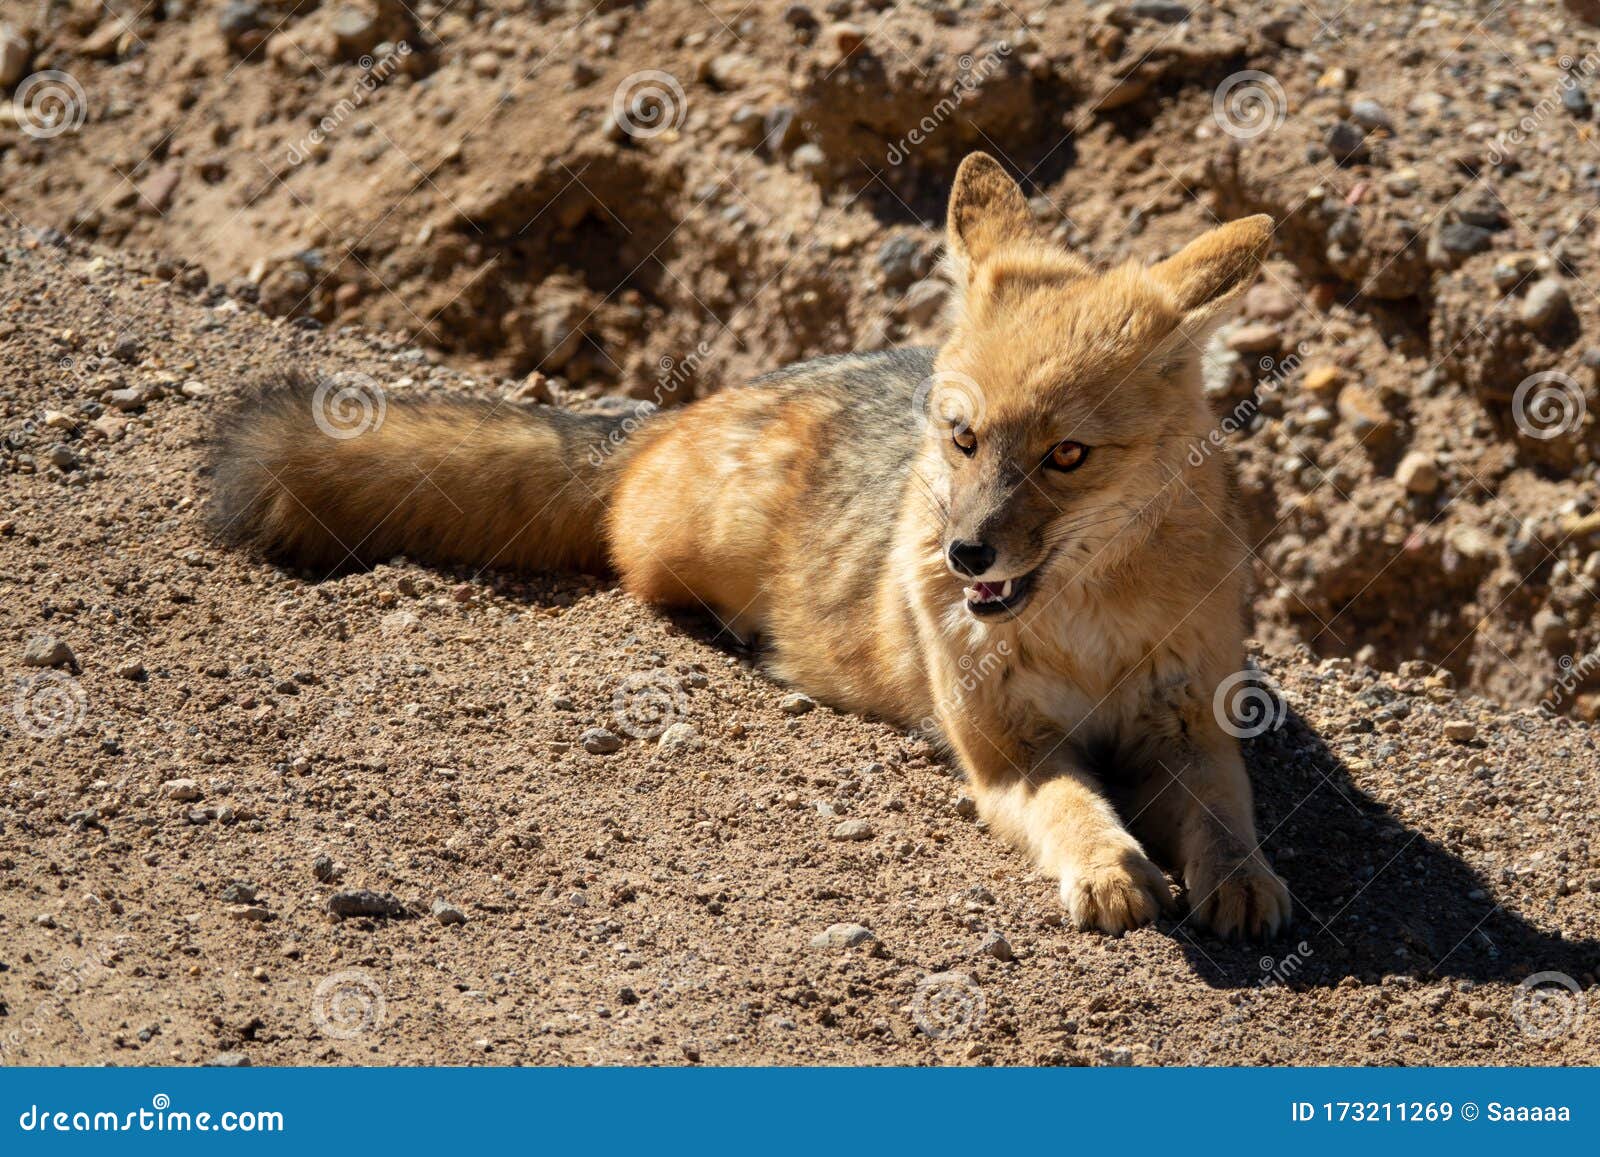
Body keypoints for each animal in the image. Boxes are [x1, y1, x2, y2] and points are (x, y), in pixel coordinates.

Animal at [212, 152, 1291, 940]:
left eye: (1067, 455)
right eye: (964, 438)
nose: (964, 557)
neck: (1088, 633)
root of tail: (662, 417)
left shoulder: (1192, 726)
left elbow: (1227, 813)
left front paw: (1243, 878)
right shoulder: (1008, 753)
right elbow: (1074, 805)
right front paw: (1109, 866)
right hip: (695, 545)